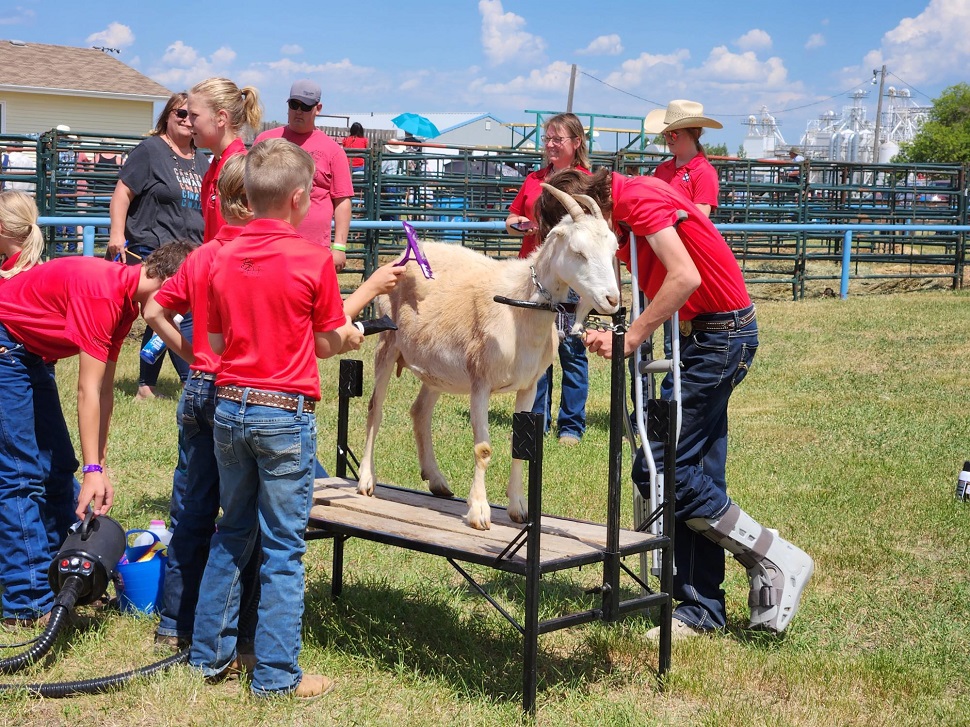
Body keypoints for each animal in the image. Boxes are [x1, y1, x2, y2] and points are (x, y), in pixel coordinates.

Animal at [357, 184, 620, 530]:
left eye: (614, 248)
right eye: (578, 252)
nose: (613, 300)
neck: (519, 307)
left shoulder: (529, 386)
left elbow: (520, 447)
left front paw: (518, 508)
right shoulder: (480, 382)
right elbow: (482, 449)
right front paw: (479, 512)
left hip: (435, 367)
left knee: (420, 411)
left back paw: (437, 480)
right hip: (387, 342)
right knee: (375, 407)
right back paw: (366, 479)